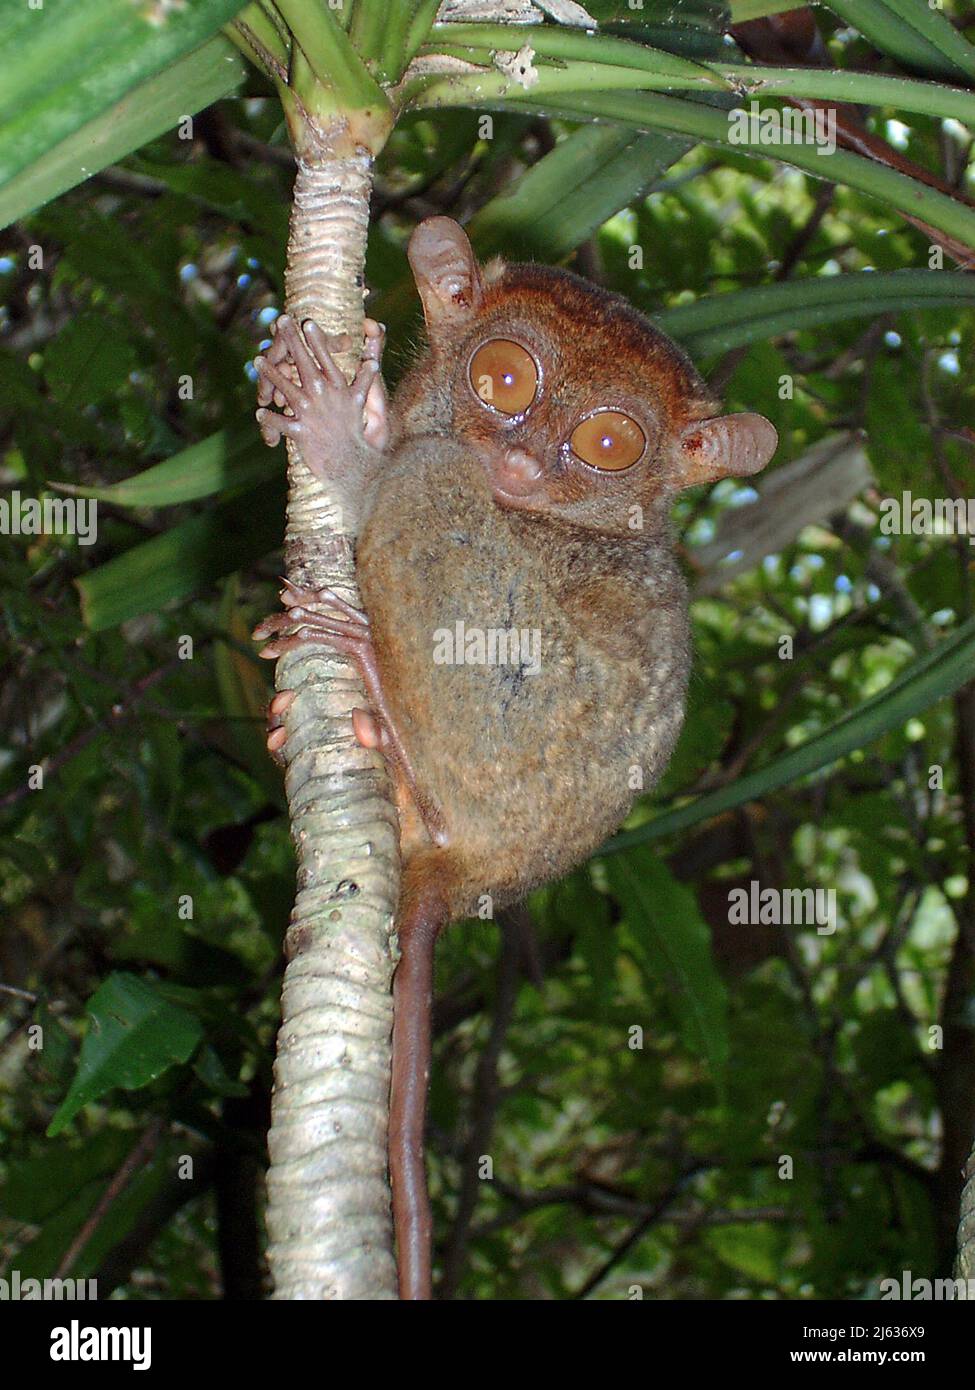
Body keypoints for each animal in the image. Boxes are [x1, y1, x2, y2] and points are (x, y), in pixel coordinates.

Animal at [252, 217, 777, 1299]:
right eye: (502, 379)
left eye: (609, 446)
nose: (523, 463)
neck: (575, 520)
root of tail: (481, 874)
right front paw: (371, 401)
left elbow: (395, 479)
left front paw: (341, 439)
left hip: (509, 724)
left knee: (429, 480)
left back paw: (371, 685)